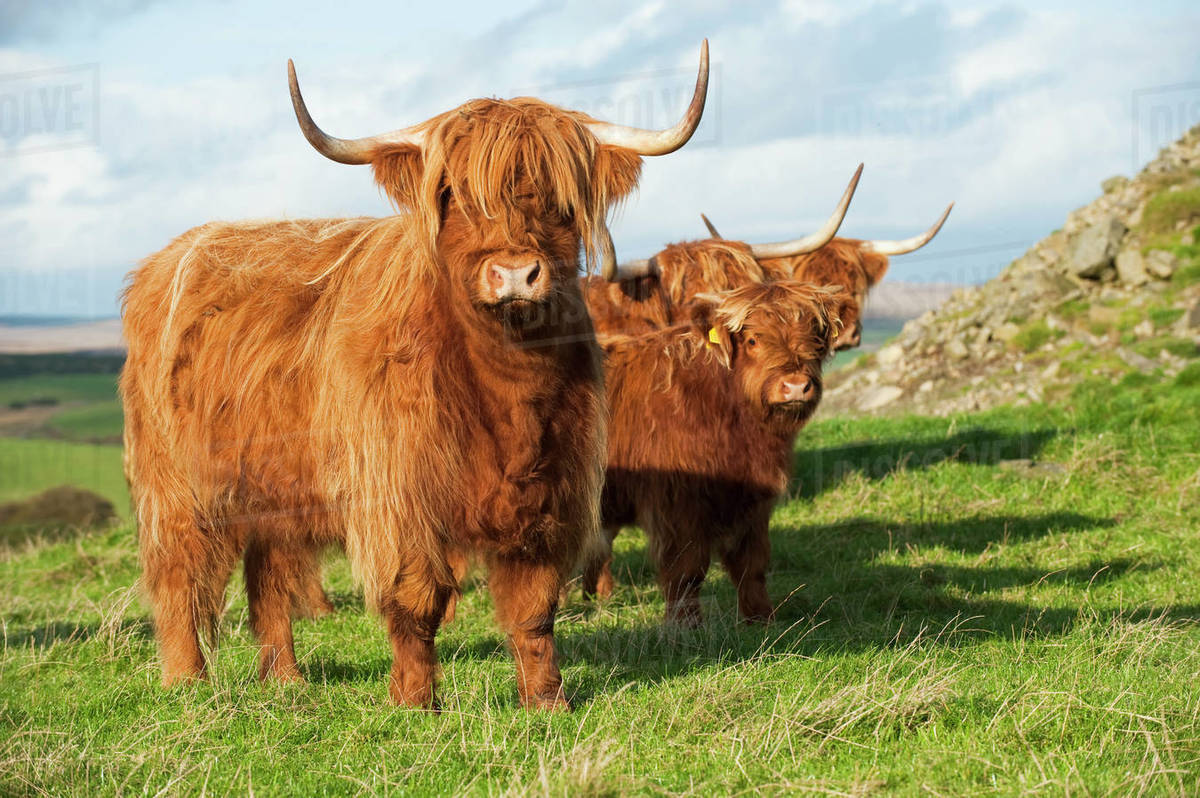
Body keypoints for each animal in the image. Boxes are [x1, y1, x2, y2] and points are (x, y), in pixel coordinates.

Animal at [119, 43, 710, 711]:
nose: (515, 274)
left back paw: (288, 679)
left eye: (556, 194)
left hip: (276, 484)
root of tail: (165, 258)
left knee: (270, 572)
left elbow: (535, 609)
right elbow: (417, 599)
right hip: (174, 484)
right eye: (452, 192)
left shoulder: (551, 491)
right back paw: (186, 680)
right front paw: (413, 701)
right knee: (179, 574)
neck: (505, 386)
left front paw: (546, 701)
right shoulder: (398, 496)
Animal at [584, 281, 854, 624]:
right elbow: (686, 569)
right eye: (753, 339)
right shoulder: (679, 503)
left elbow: (751, 564)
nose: (795, 385)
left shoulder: (754, 501)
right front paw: (685, 624)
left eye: (816, 339)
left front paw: (761, 618)